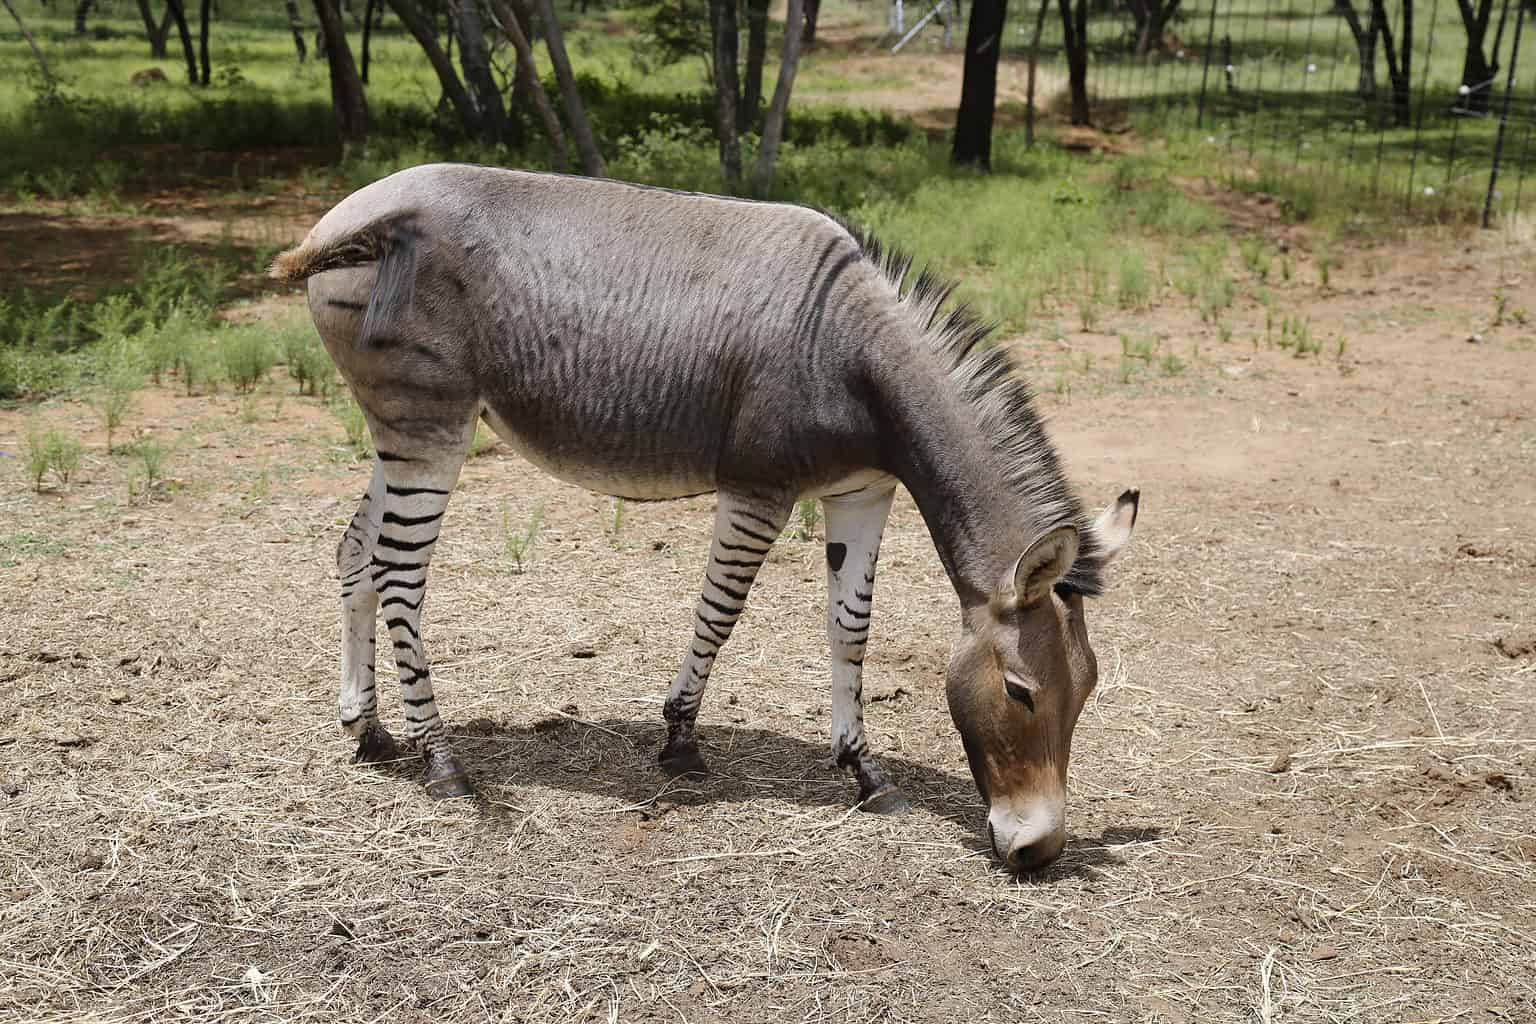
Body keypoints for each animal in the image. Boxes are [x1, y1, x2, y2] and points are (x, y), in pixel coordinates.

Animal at [271, 164, 1139, 871]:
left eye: (1089, 691)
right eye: (1022, 692)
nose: (1040, 854)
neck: (858, 360)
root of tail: (348, 213)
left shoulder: (861, 492)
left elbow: (849, 629)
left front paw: (865, 770)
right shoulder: (759, 486)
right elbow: (720, 613)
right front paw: (680, 738)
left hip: (397, 433)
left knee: (355, 554)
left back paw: (369, 731)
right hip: (430, 426)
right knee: (399, 574)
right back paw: (441, 761)